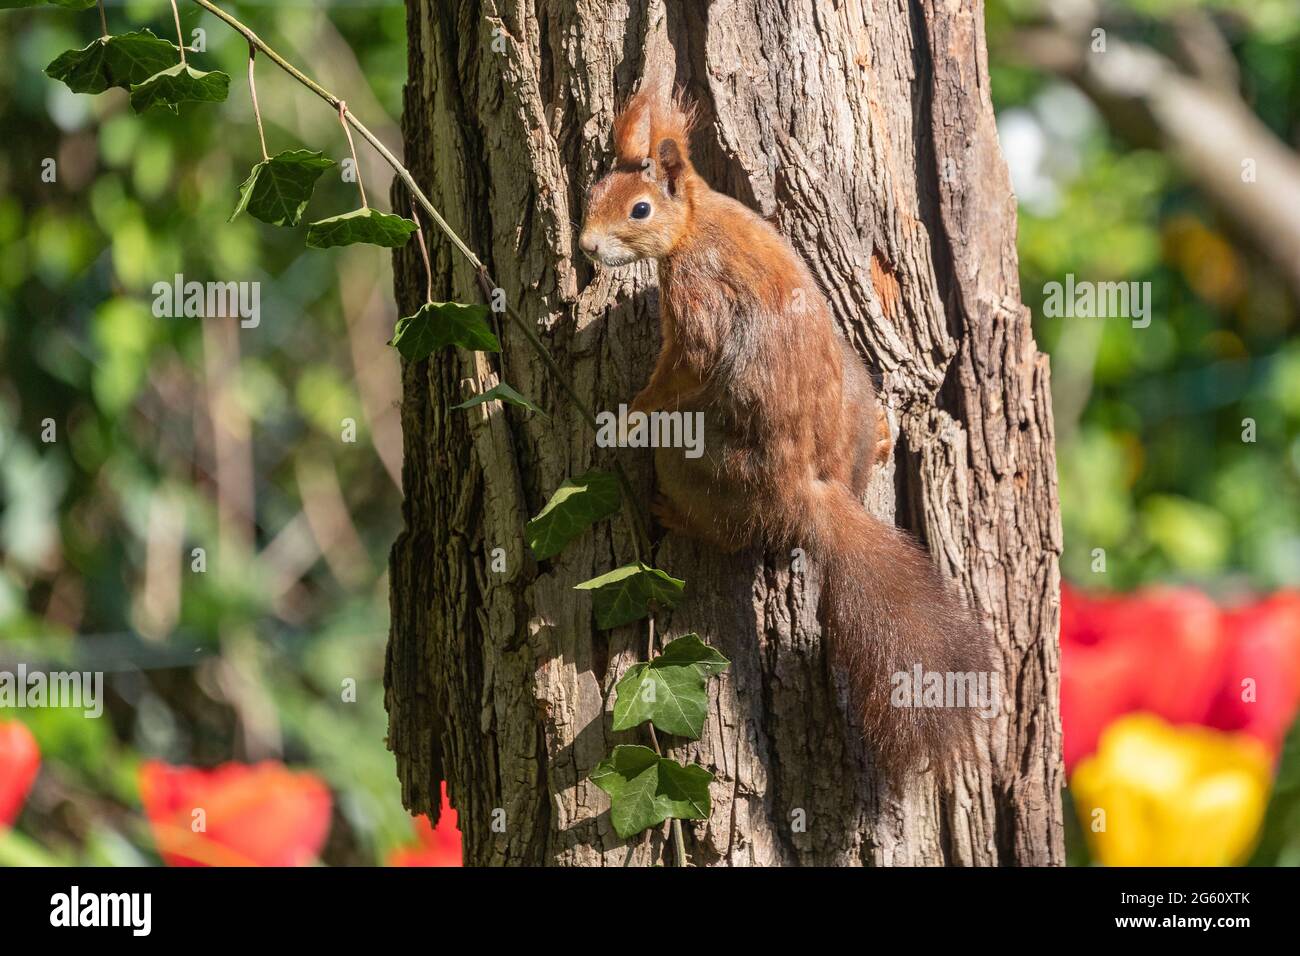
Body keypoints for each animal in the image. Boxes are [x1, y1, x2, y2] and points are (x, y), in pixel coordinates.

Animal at [578, 87, 994, 781]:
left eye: (638, 209)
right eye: (594, 191)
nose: (585, 246)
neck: (698, 221)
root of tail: (812, 490)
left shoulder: (699, 297)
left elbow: (687, 363)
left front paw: (631, 410)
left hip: (696, 460)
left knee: (727, 529)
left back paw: (673, 512)